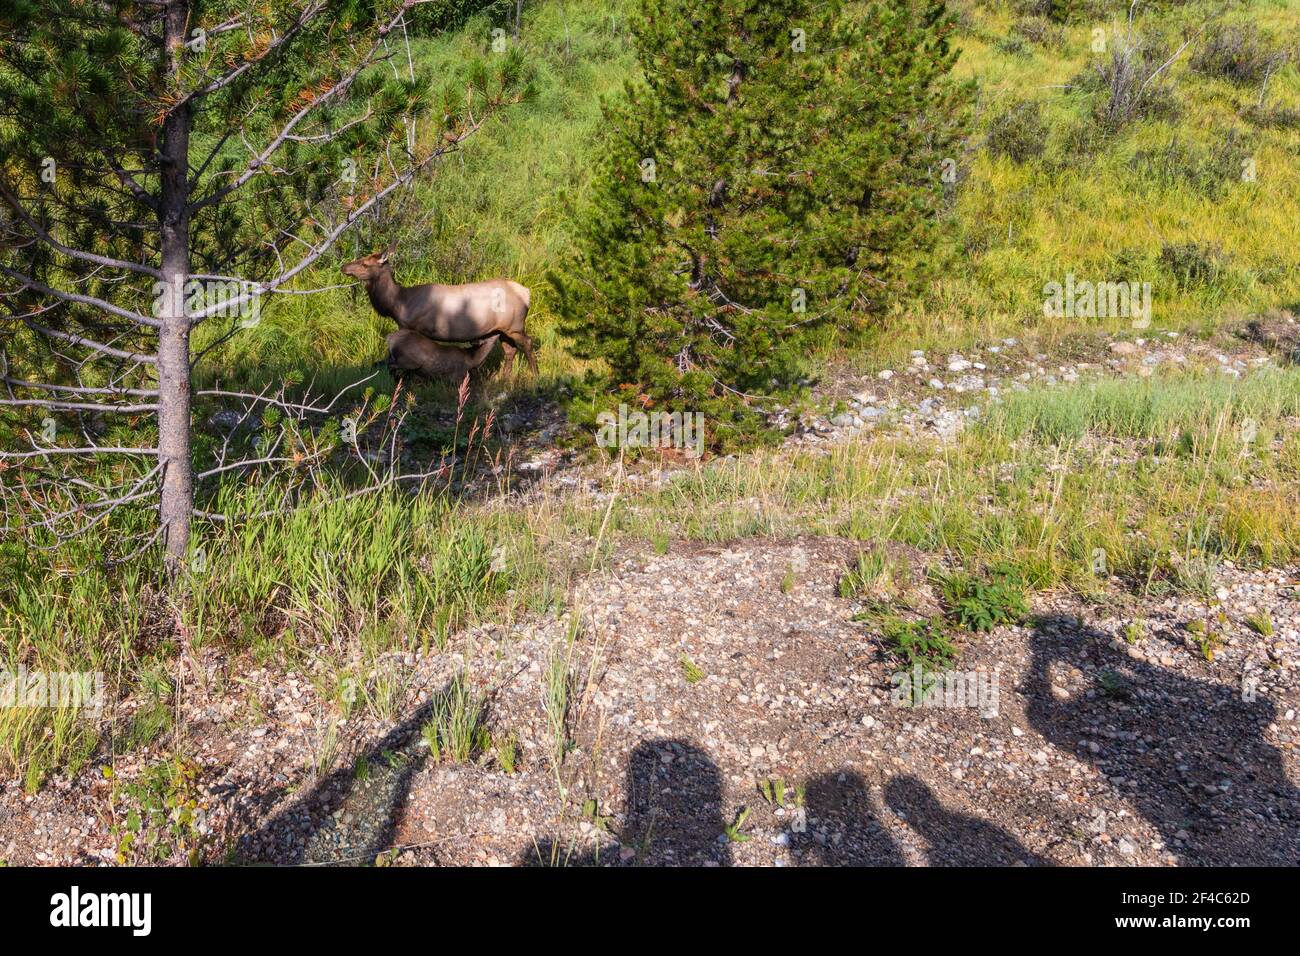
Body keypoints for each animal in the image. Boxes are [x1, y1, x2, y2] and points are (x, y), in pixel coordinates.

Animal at [342, 244, 537, 374]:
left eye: (365, 264)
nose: (343, 266)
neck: (396, 303)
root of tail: (526, 293)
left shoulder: (412, 326)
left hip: (515, 325)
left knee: (527, 342)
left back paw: (535, 374)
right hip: (502, 329)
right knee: (510, 350)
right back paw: (506, 378)